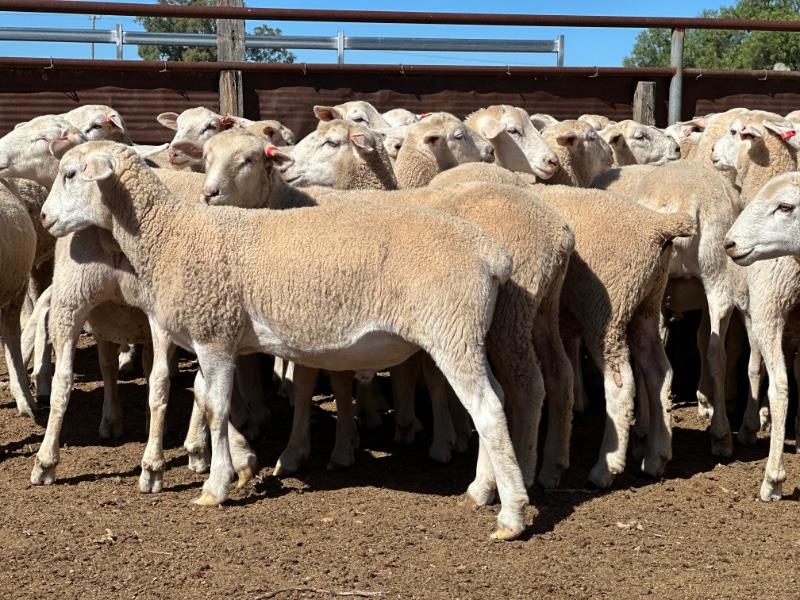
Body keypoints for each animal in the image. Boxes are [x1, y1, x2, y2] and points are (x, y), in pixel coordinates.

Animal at [42, 141, 529, 540]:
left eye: (71, 173)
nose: (45, 218)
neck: (171, 234)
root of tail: (491, 253)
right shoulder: (215, 337)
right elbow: (205, 397)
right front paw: (237, 464)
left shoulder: (213, 335)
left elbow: (216, 408)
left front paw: (214, 487)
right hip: (468, 333)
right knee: (498, 399)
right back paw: (482, 489)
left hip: (452, 329)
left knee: (486, 408)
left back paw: (512, 515)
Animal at [212, 125, 576, 487]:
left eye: (331, 142)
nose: (284, 162)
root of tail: (558, 230)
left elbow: (308, 384)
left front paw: (297, 452)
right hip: (543, 308)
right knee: (560, 374)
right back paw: (553, 465)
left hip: (510, 313)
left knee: (528, 387)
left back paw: (521, 471)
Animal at [430, 162, 695, 486]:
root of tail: (657, 225)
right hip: (645, 303)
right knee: (658, 371)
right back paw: (655, 456)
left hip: (604, 310)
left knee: (620, 383)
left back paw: (604, 468)